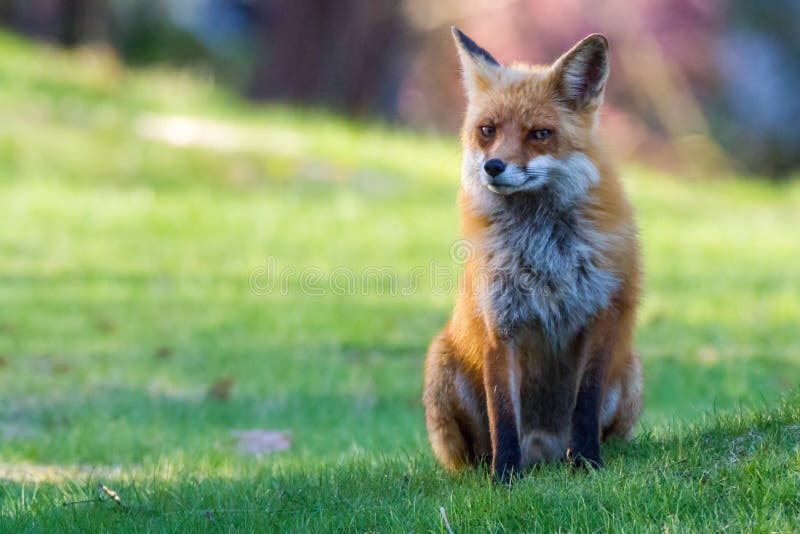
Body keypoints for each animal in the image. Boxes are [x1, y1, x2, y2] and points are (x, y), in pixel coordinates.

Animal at [423, 28, 642, 483]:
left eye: (539, 133)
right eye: (487, 130)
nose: (493, 166)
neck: (543, 249)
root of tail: (544, 453)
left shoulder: (603, 313)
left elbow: (586, 402)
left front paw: (587, 463)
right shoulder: (499, 322)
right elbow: (503, 413)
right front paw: (505, 477)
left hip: (632, 372)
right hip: (440, 365)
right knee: (475, 450)